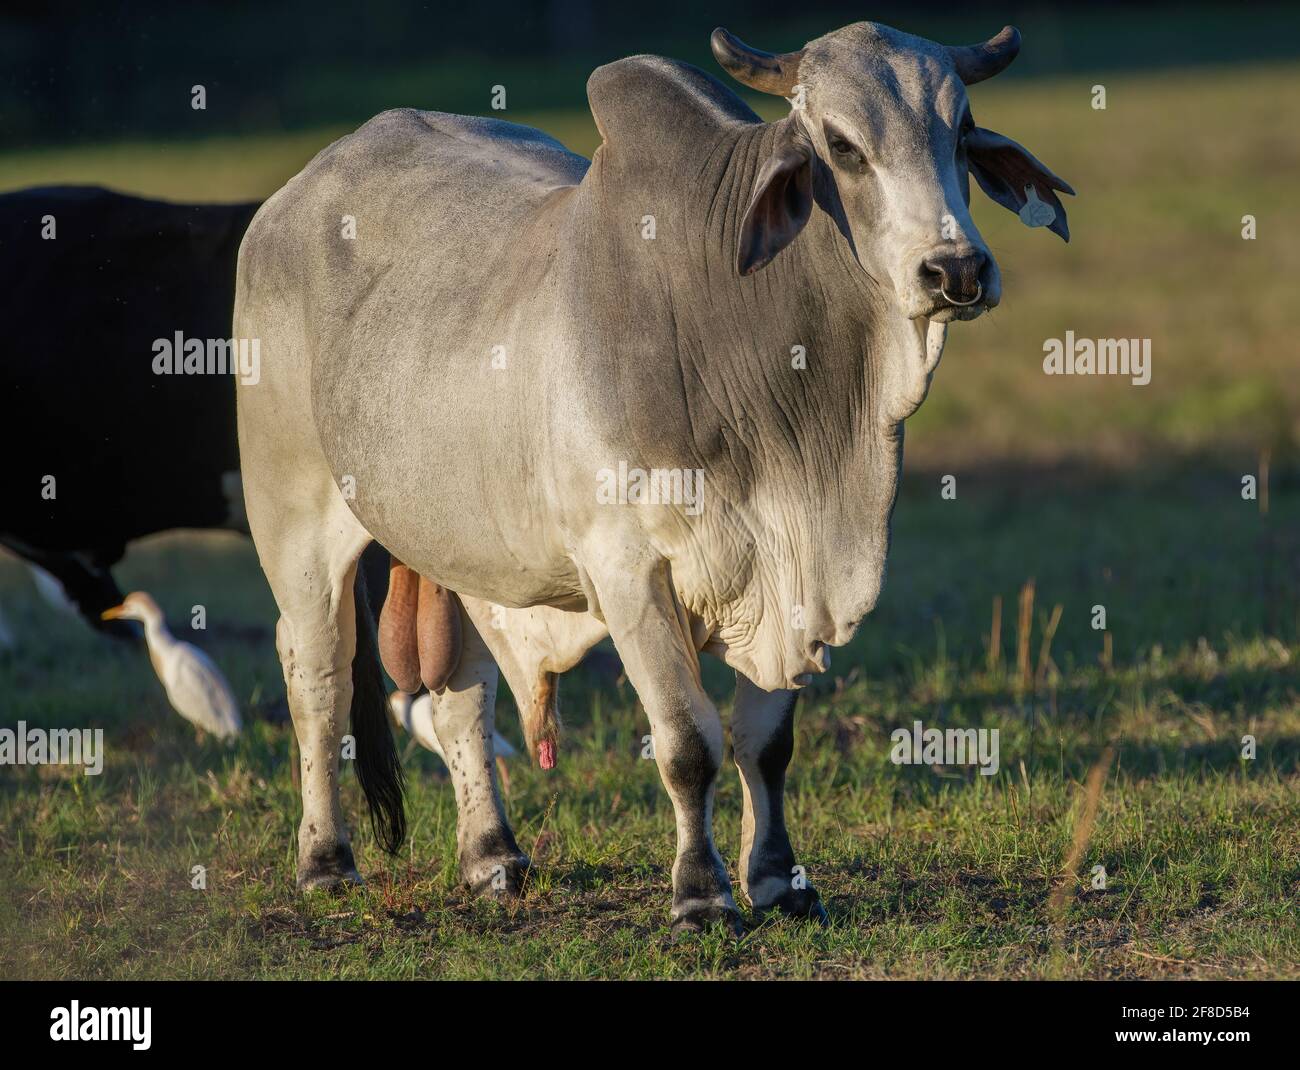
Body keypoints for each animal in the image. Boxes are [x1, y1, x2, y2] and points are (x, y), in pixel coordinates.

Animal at [234, 21, 1073, 935]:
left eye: (961, 132)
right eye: (843, 145)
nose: (957, 270)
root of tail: (293, 194)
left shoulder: (789, 574)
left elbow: (765, 745)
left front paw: (776, 879)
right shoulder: (630, 571)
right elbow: (688, 744)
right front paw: (701, 893)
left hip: (467, 549)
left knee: (462, 689)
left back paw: (491, 855)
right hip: (296, 522)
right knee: (317, 676)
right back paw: (325, 862)